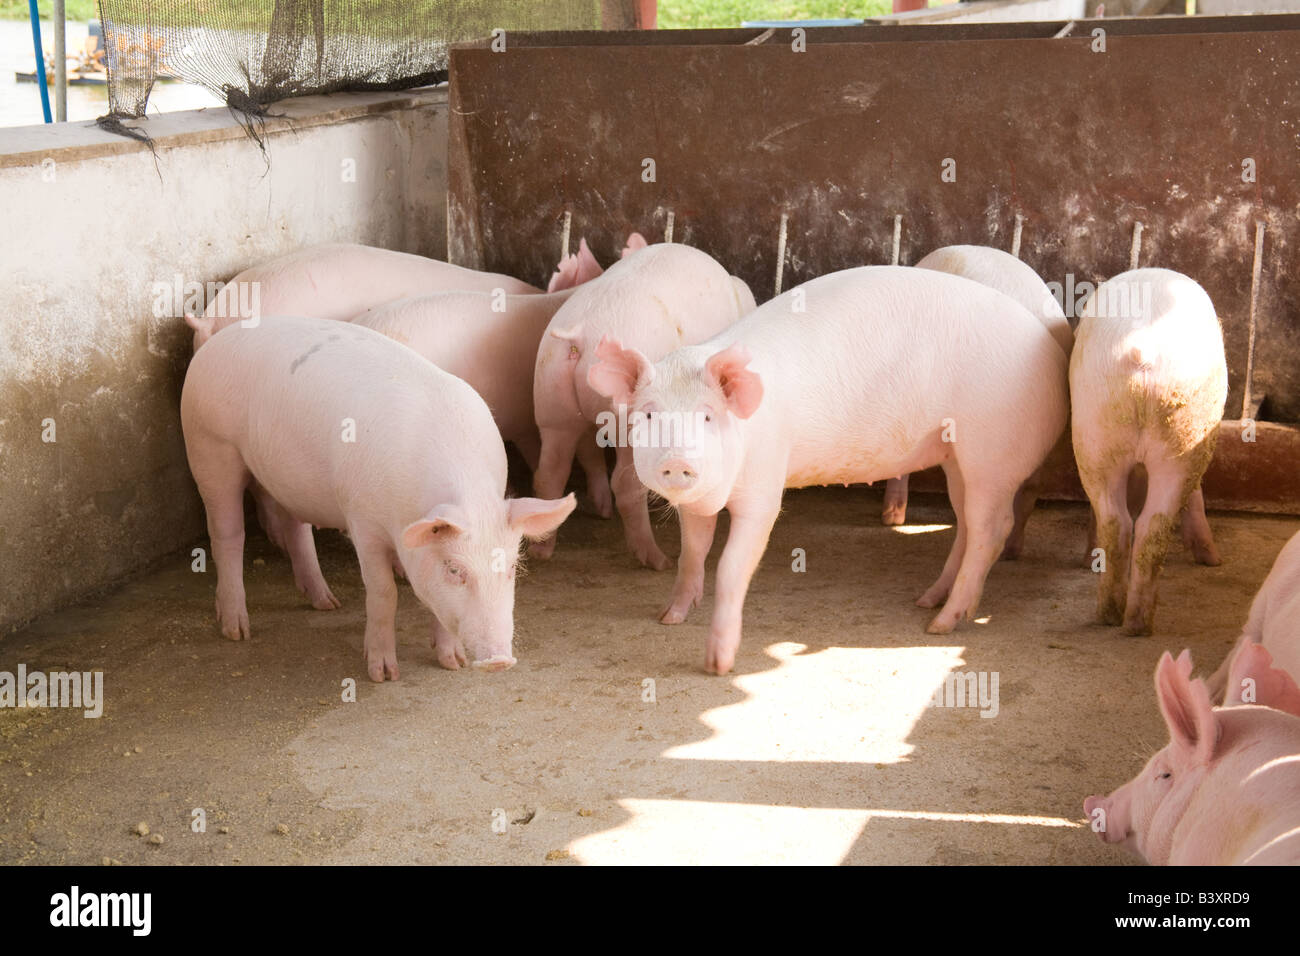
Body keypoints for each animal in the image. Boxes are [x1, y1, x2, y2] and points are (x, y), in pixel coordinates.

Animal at [180, 314, 576, 681]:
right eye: (454, 569)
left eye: (511, 568)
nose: (499, 661)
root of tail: (215, 341)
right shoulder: (362, 520)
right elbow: (384, 592)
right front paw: (384, 674)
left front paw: (453, 663)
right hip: (209, 445)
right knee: (227, 534)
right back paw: (237, 630)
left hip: (285, 475)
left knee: (295, 528)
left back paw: (327, 603)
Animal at [529, 241, 757, 570]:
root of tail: (581, 333)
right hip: (625, 423)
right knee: (624, 485)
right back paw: (657, 560)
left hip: (550, 398)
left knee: (550, 472)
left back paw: (542, 550)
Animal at [1071, 269, 1227, 635]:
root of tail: (1141, 351)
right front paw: (1213, 561)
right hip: (1184, 437)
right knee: (1149, 524)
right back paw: (1134, 622)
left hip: (1096, 432)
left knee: (1122, 524)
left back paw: (1120, 620)